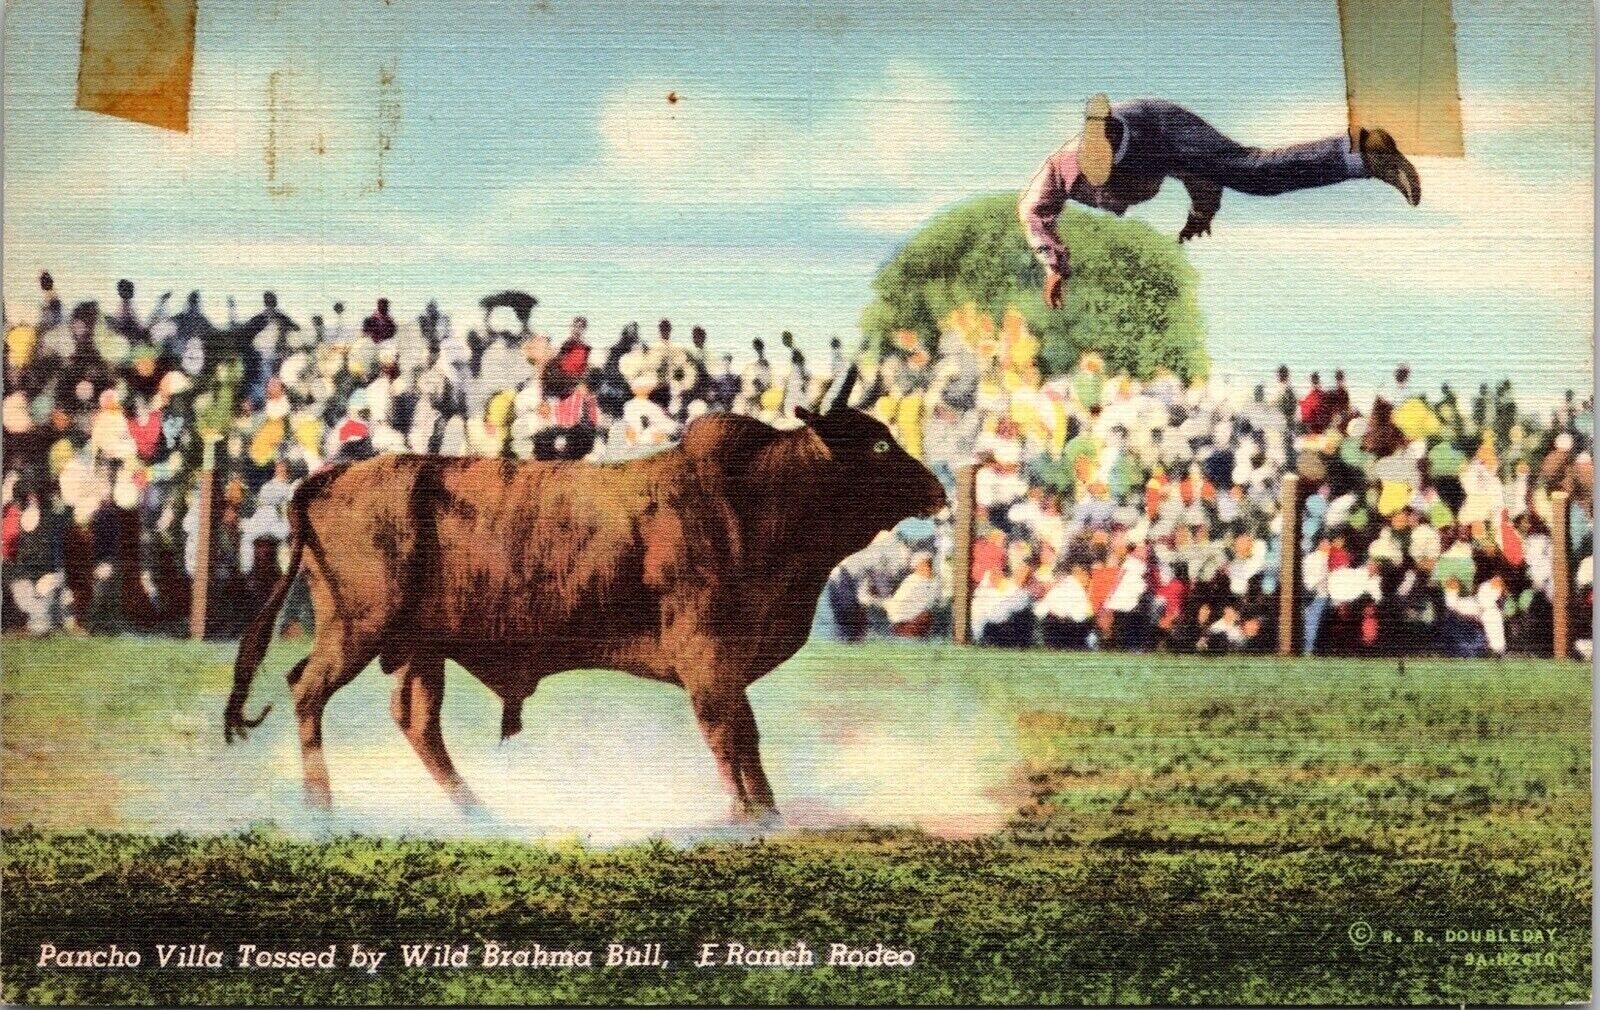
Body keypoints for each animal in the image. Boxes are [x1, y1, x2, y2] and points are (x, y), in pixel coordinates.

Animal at [224, 370, 947, 821]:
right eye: (879, 445)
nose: (939, 489)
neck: (753, 499)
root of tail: (327, 479)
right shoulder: (708, 661)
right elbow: (728, 734)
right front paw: (746, 814)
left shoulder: (727, 665)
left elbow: (747, 736)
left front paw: (768, 813)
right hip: (358, 629)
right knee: (308, 691)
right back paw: (321, 808)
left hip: (422, 647)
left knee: (416, 722)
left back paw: (479, 813)